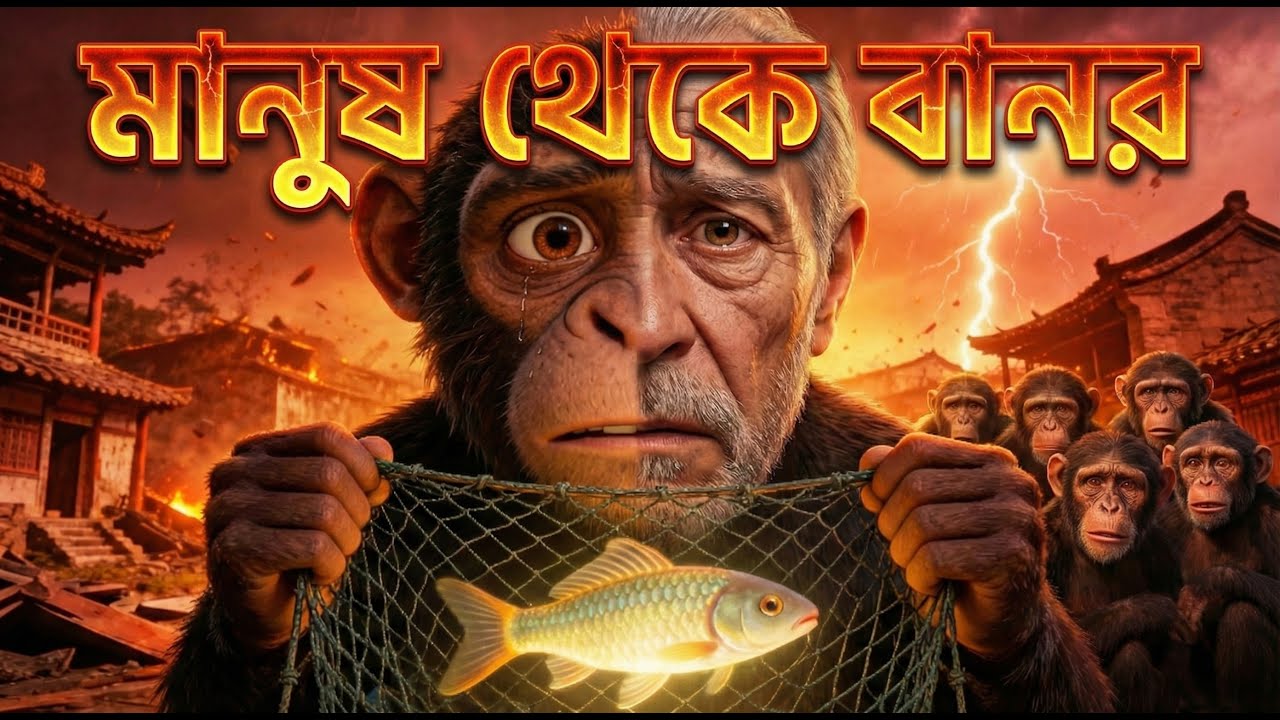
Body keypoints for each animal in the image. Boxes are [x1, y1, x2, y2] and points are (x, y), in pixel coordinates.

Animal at [1042, 431, 1190, 712]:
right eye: (1094, 481)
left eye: (1127, 485)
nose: (1110, 507)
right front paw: (1155, 609)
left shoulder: (1161, 550)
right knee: (1131, 654)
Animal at [1160, 421, 1280, 712]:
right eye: (1193, 463)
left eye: (1223, 463)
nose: (1206, 481)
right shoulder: (1164, 526)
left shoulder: (1276, 520)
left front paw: (1206, 585)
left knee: (1244, 613)